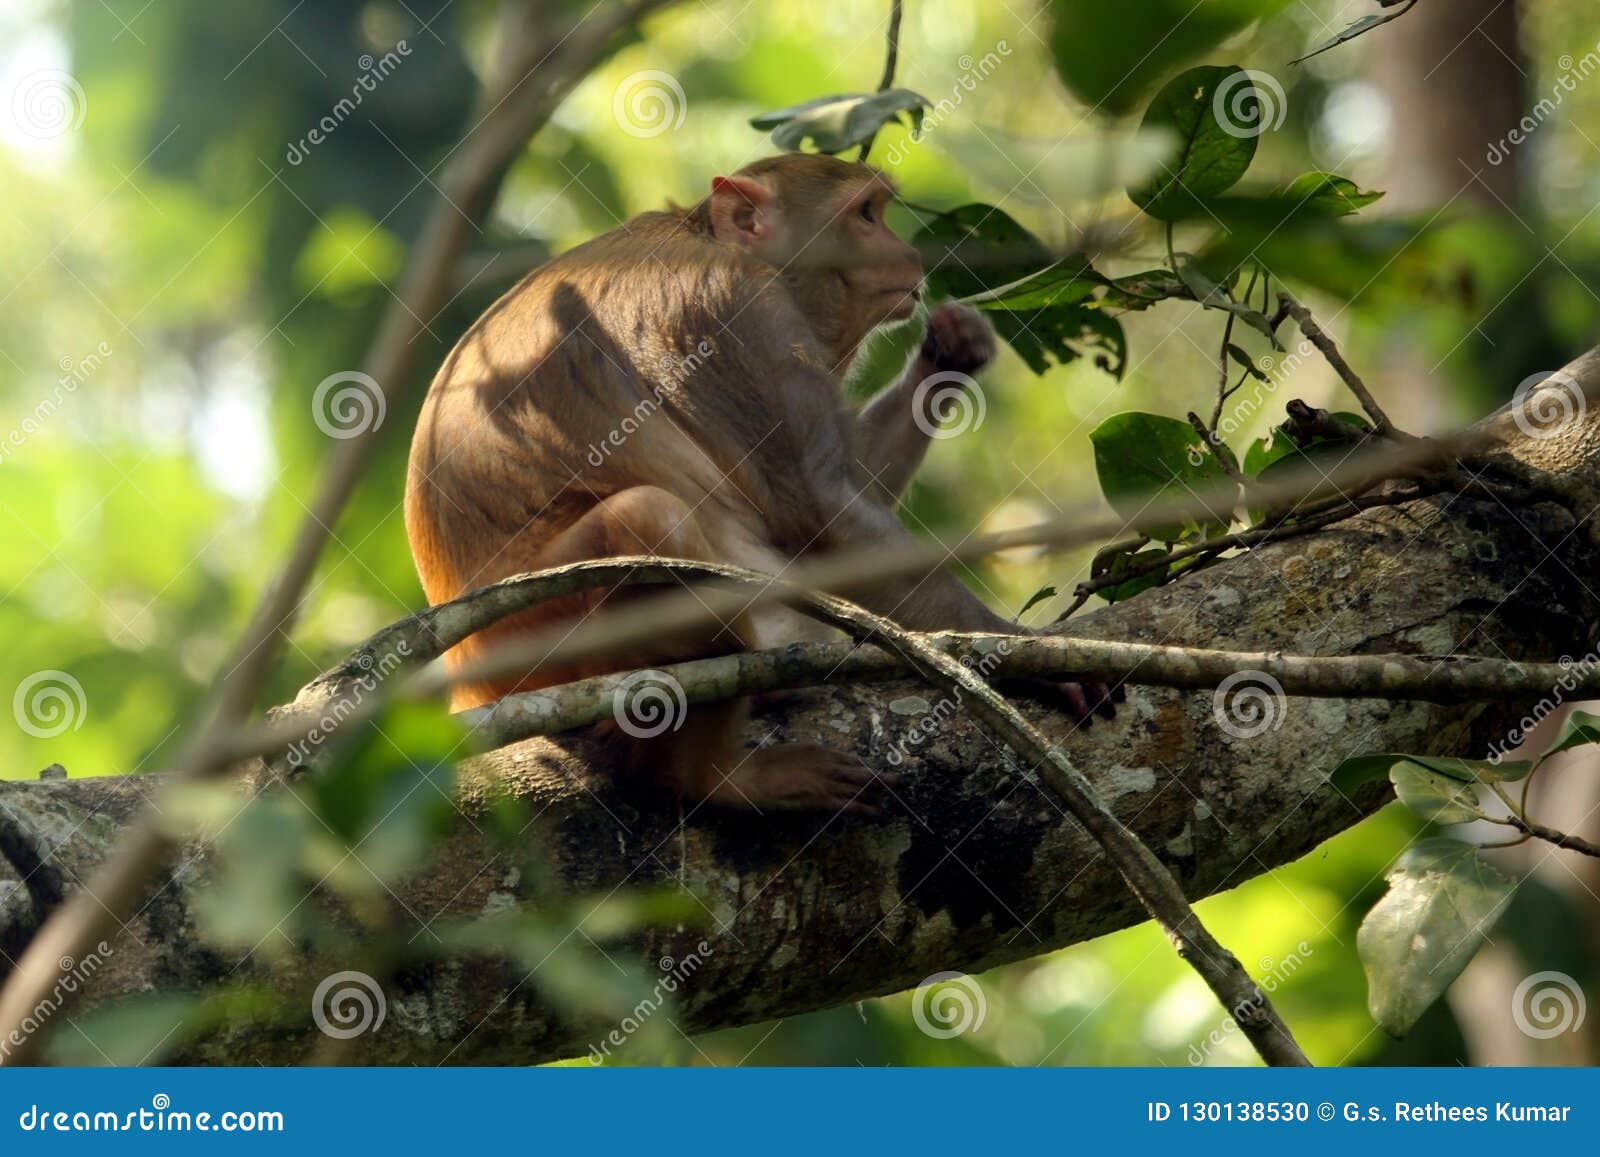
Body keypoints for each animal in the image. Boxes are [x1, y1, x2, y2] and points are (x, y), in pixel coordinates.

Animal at [405, 152, 1113, 816]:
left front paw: (951, 351)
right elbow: (821, 513)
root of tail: (465, 676)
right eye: (866, 215)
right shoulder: (742, 310)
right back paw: (707, 776)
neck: (709, 239)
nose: (909, 252)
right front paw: (1020, 656)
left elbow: (841, 491)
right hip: (531, 644)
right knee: (651, 518)